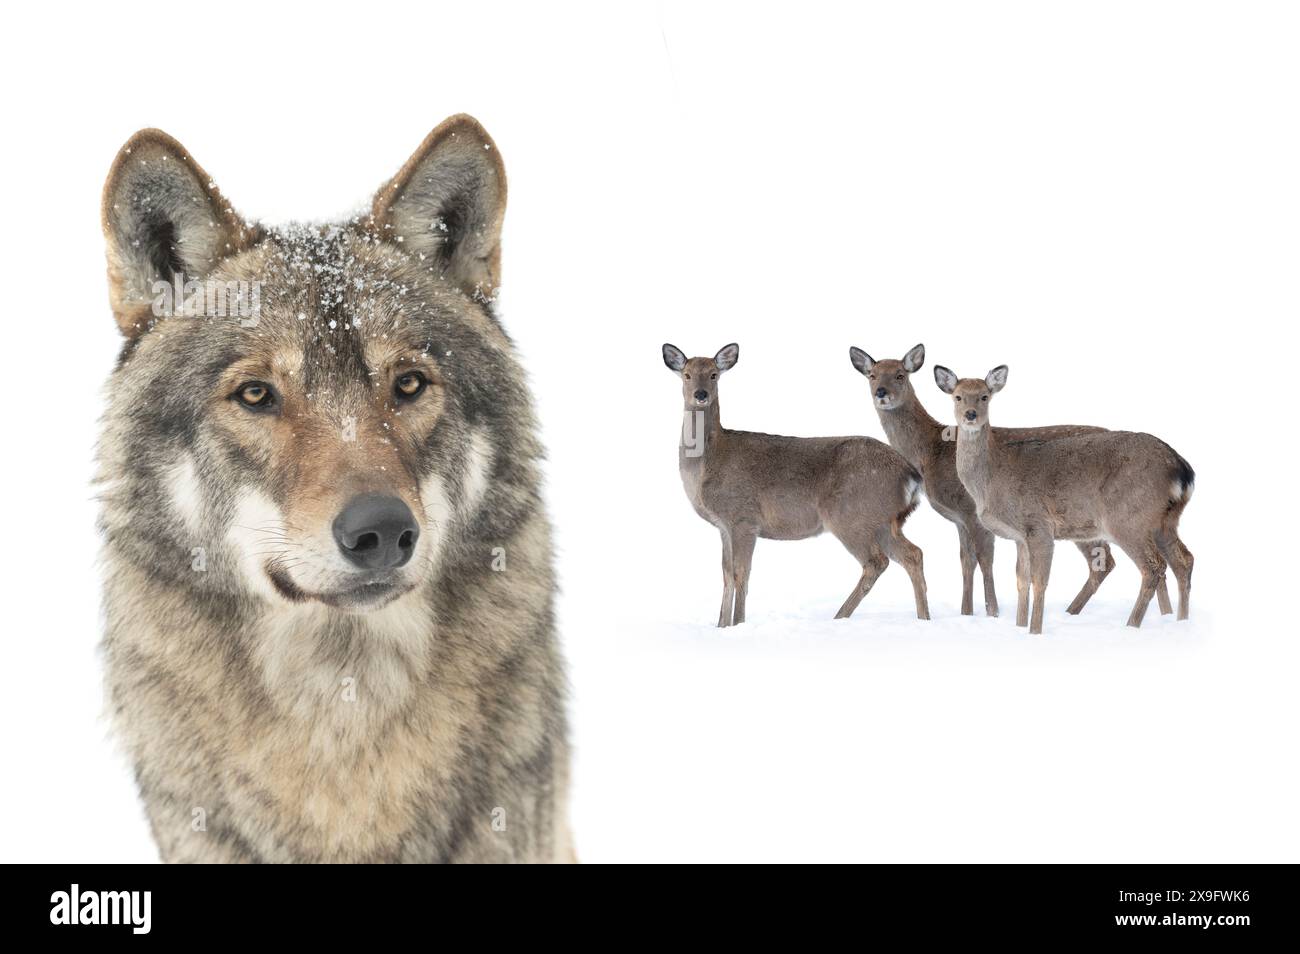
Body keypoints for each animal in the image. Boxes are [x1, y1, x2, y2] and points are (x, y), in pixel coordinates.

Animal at [662, 343, 930, 627]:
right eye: (687, 374)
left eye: (714, 374)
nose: (700, 394)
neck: (708, 465)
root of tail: (911, 474)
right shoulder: (723, 526)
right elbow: (725, 576)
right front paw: (721, 626)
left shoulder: (744, 518)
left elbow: (740, 574)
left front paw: (738, 624)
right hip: (882, 521)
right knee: (913, 554)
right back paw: (923, 618)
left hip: (849, 515)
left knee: (876, 561)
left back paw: (839, 616)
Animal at [848, 343, 1172, 619]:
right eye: (872, 375)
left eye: (900, 375)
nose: (881, 392)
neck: (932, 452)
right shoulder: (959, 519)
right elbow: (965, 562)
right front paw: (966, 612)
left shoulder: (971, 512)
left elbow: (984, 560)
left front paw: (991, 612)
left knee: (1113, 563)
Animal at [933, 364, 1194, 635]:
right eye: (958, 396)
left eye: (985, 396)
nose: (971, 415)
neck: (990, 482)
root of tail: (1182, 468)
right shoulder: (1020, 535)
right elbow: (1021, 581)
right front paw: (1019, 626)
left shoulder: (1039, 524)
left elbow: (1039, 582)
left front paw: (1034, 631)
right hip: (1165, 521)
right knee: (1184, 560)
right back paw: (1181, 621)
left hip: (1128, 517)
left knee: (1153, 567)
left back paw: (1131, 625)